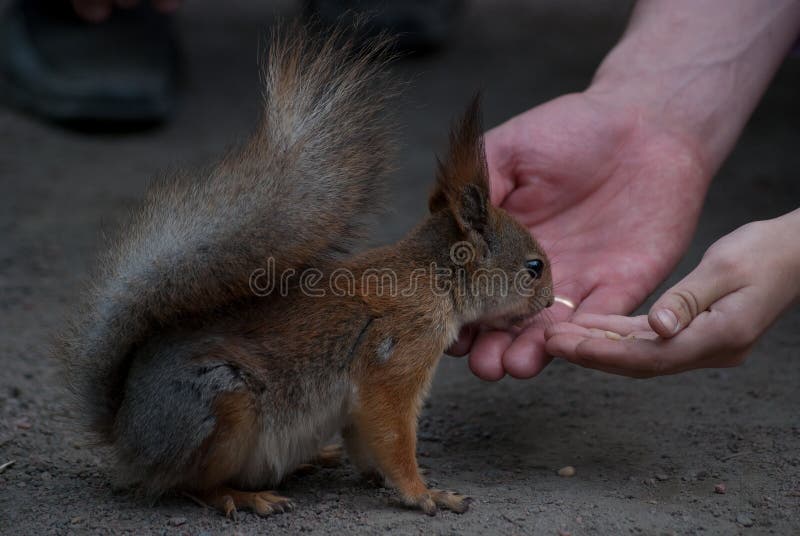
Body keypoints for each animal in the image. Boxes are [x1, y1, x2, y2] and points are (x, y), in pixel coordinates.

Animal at [58, 24, 553, 518]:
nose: (550, 301)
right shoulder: (398, 350)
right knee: (189, 485)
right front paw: (423, 493)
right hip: (223, 405)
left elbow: (364, 437)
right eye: (534, 267)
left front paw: (380, 477)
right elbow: (392, 432)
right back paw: (245, 496)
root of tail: (128, 434)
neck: (433, 277)